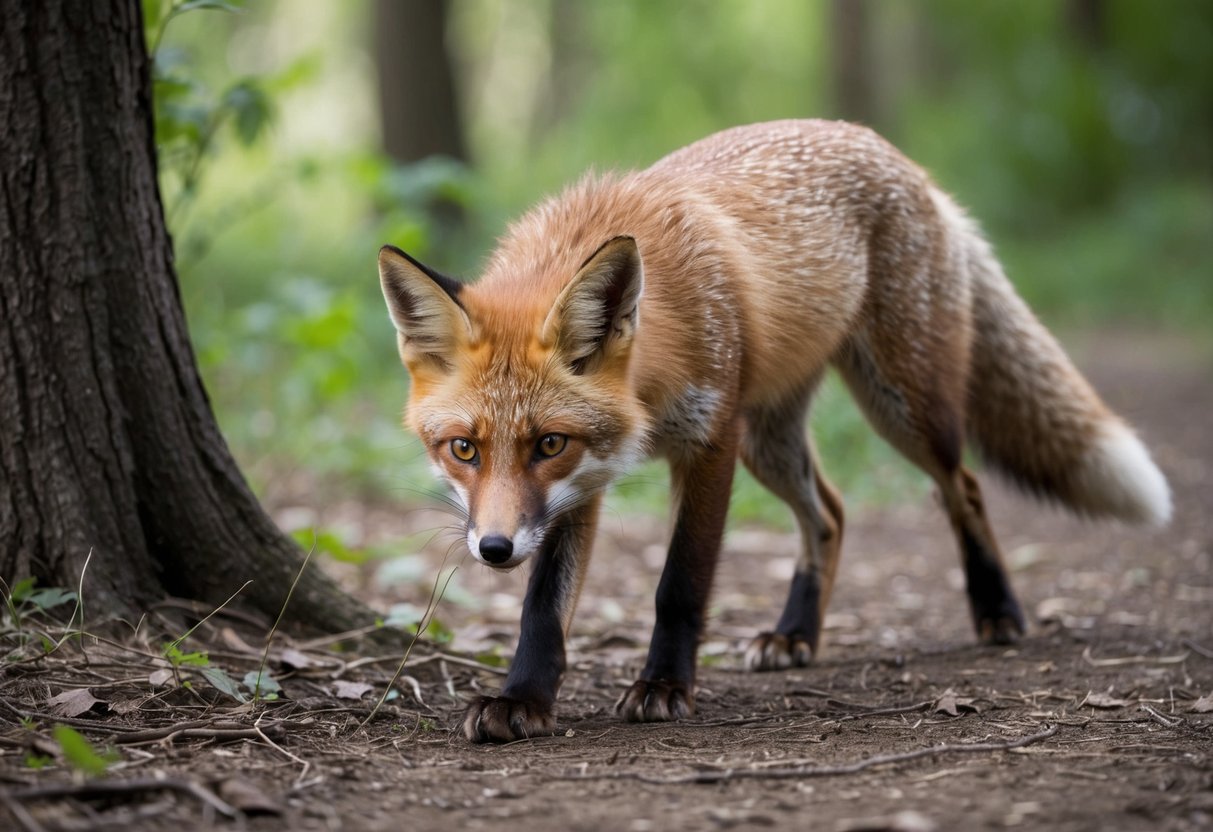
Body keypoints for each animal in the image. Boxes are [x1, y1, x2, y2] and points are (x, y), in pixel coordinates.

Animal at [377, 120, 1171, 743]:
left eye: (547, 443)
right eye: (463, 449)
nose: (494, 549)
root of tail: (897, 157)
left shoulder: (709, 440)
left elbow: (680, 583)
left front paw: (664, 687)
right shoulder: (590, 480)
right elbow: (544, 606)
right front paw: (524, 699)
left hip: (902, 409)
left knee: (963, 487)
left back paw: (997, 609)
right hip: (774, 441)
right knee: (832, 513)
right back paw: (797, 635)